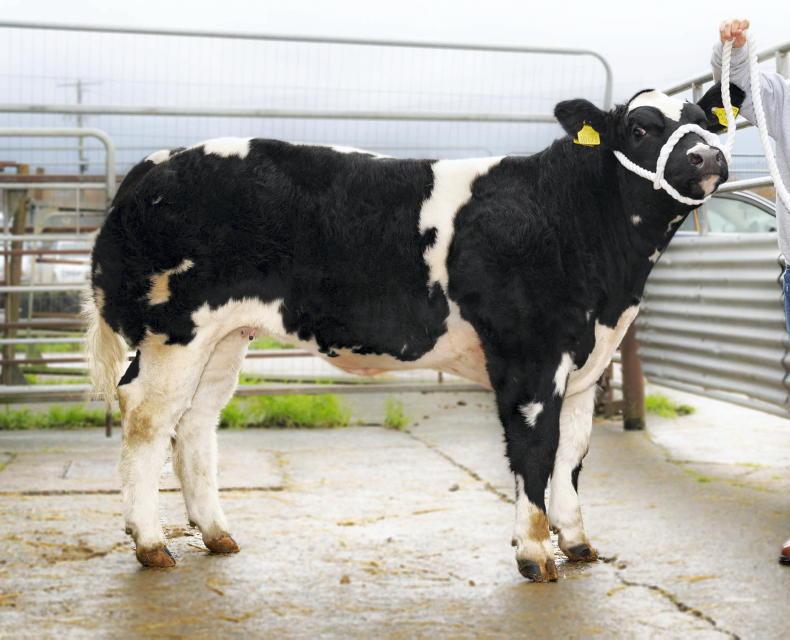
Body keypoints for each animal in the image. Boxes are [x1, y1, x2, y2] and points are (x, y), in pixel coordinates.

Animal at [84, 83, 744, 581]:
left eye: (704, 124)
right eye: (640, 127)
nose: (707, 159)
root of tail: (154, 165)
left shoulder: (585, 362)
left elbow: (572, 454)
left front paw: (578, 543)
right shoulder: (529, 357)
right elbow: (535, 451)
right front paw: (535, 553)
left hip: (224, 335)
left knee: (195, 422)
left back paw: (217, 533)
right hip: (174, 331)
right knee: (147, 419)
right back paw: (151, 544)